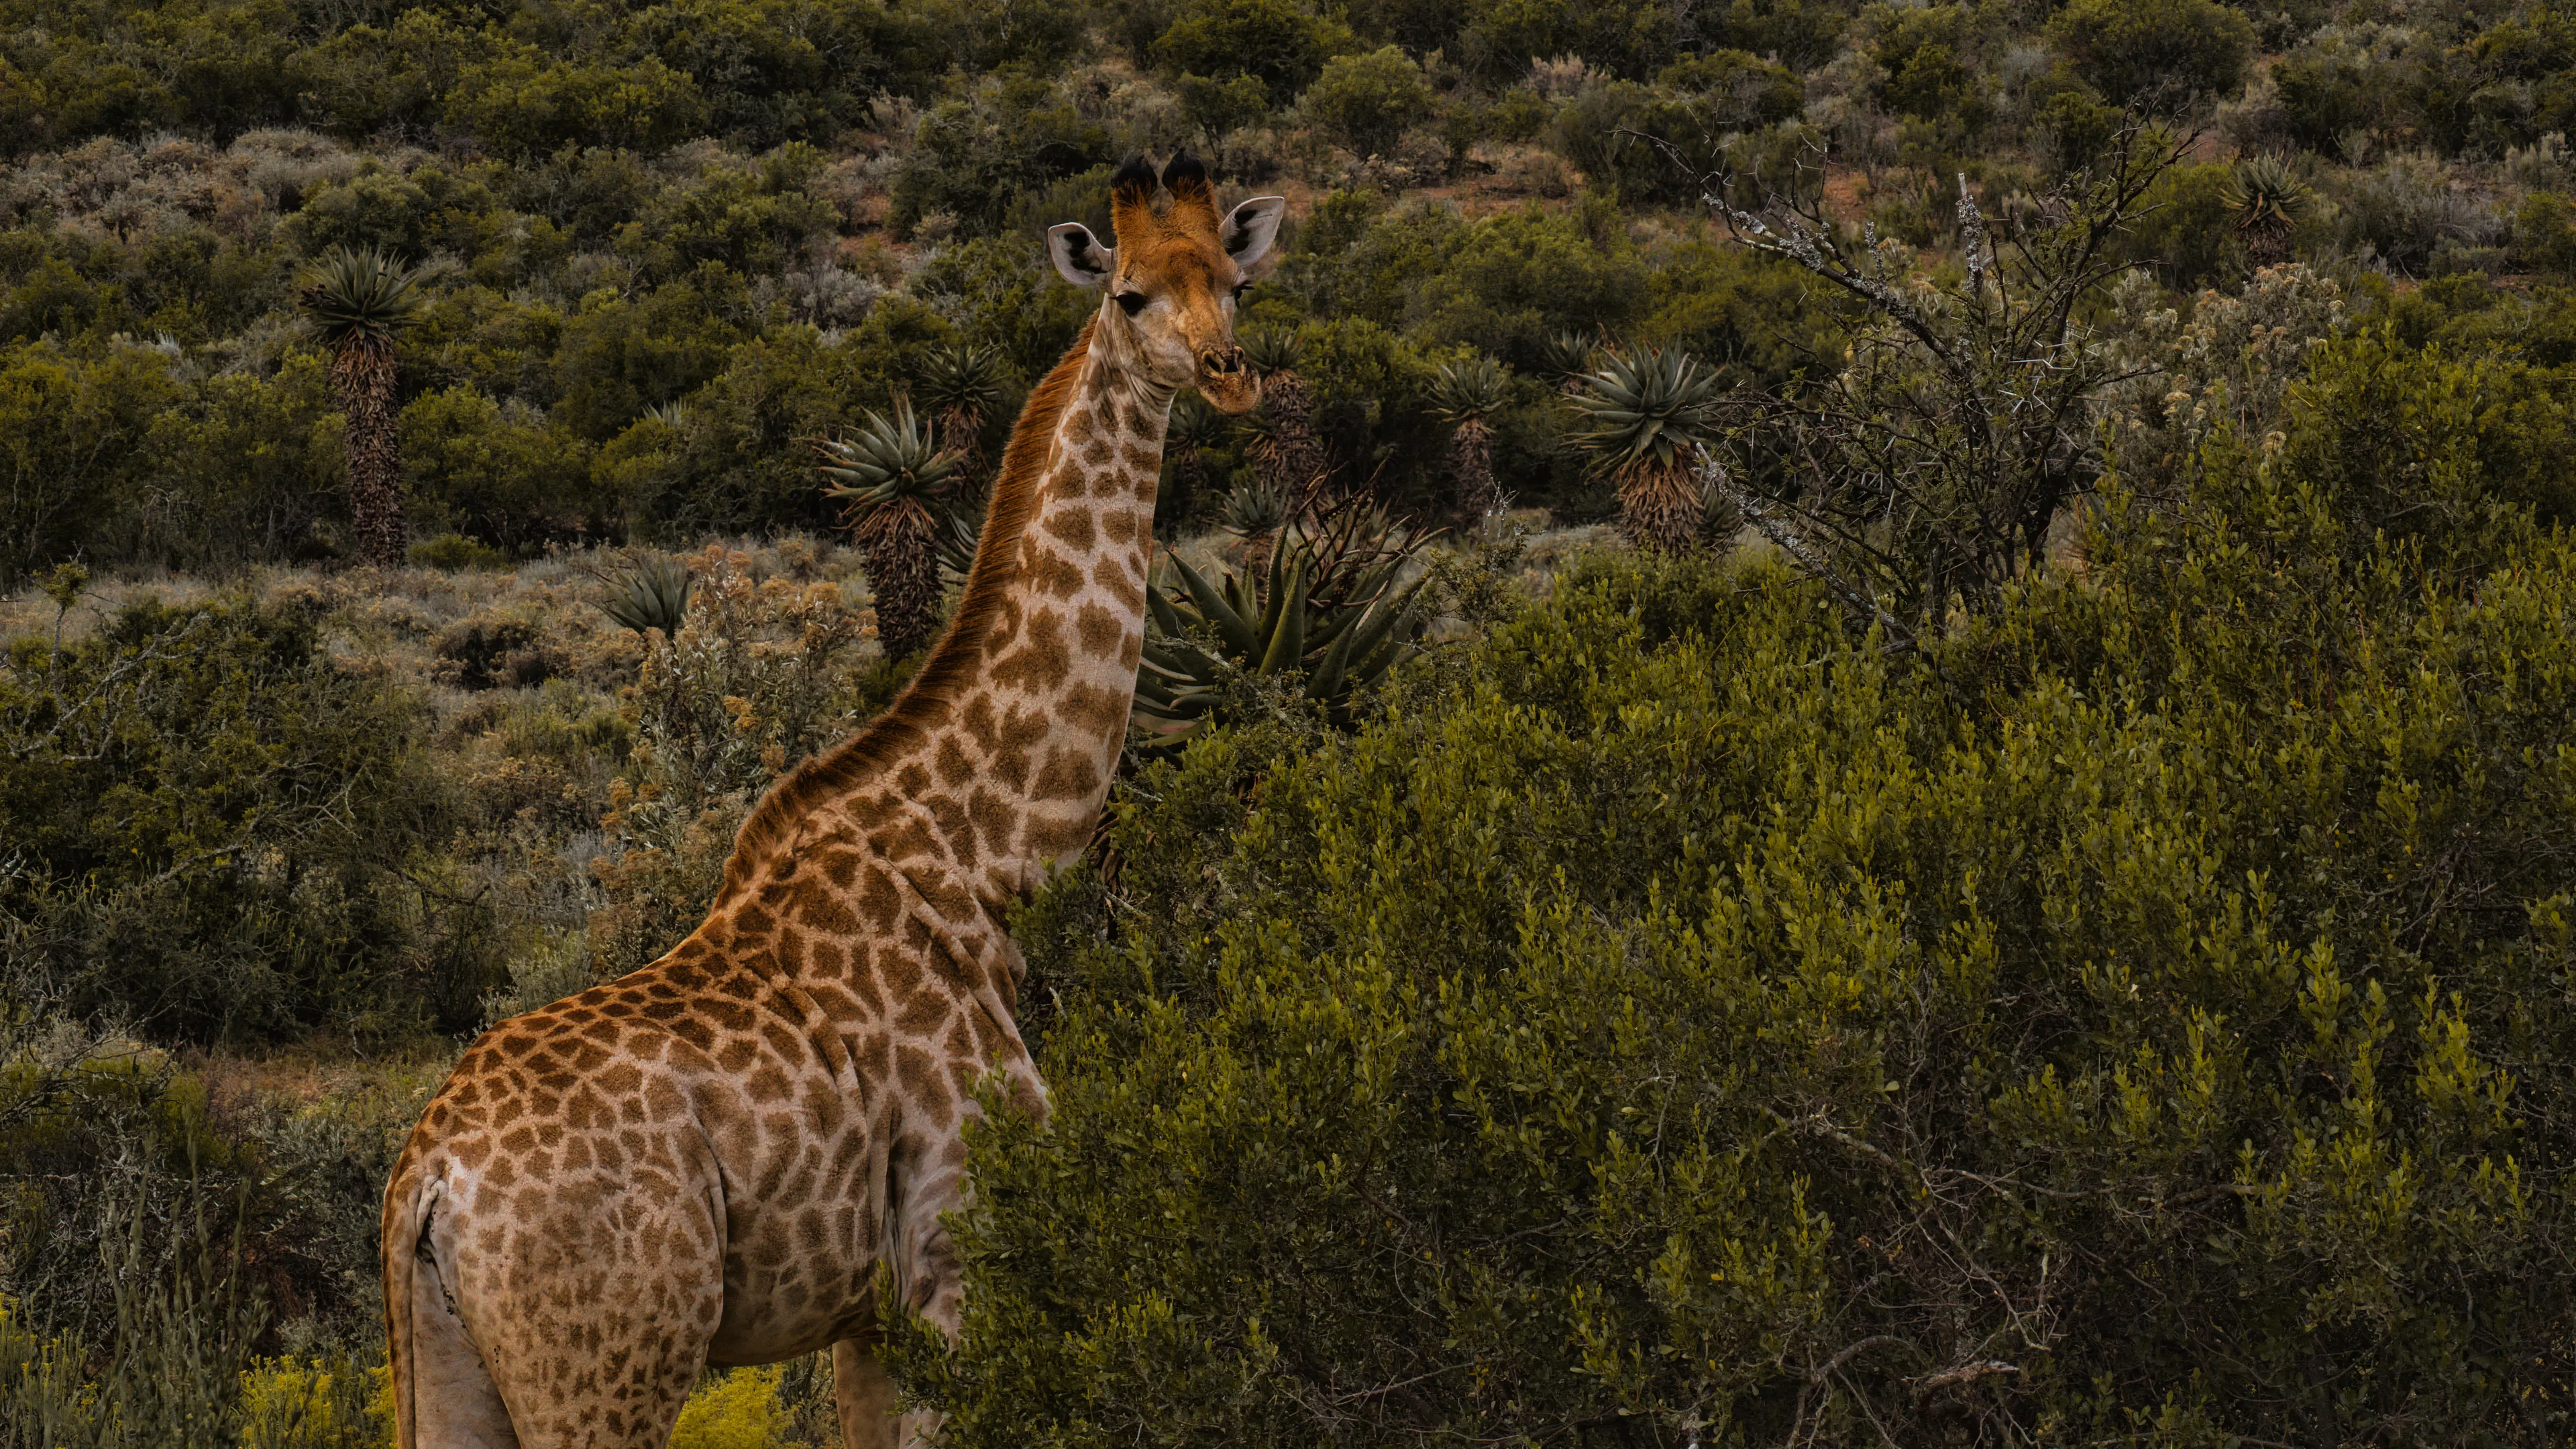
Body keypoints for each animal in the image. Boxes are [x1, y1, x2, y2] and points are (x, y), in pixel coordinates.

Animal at [380, 154, 1285, 1449]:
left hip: (454, 1369)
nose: (1229, 374)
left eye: (1237, 283)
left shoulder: (864, 1314)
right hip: (606, 1368)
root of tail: (430, 1184)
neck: (983, 860)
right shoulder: (955, 1259)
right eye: (1130, 295)